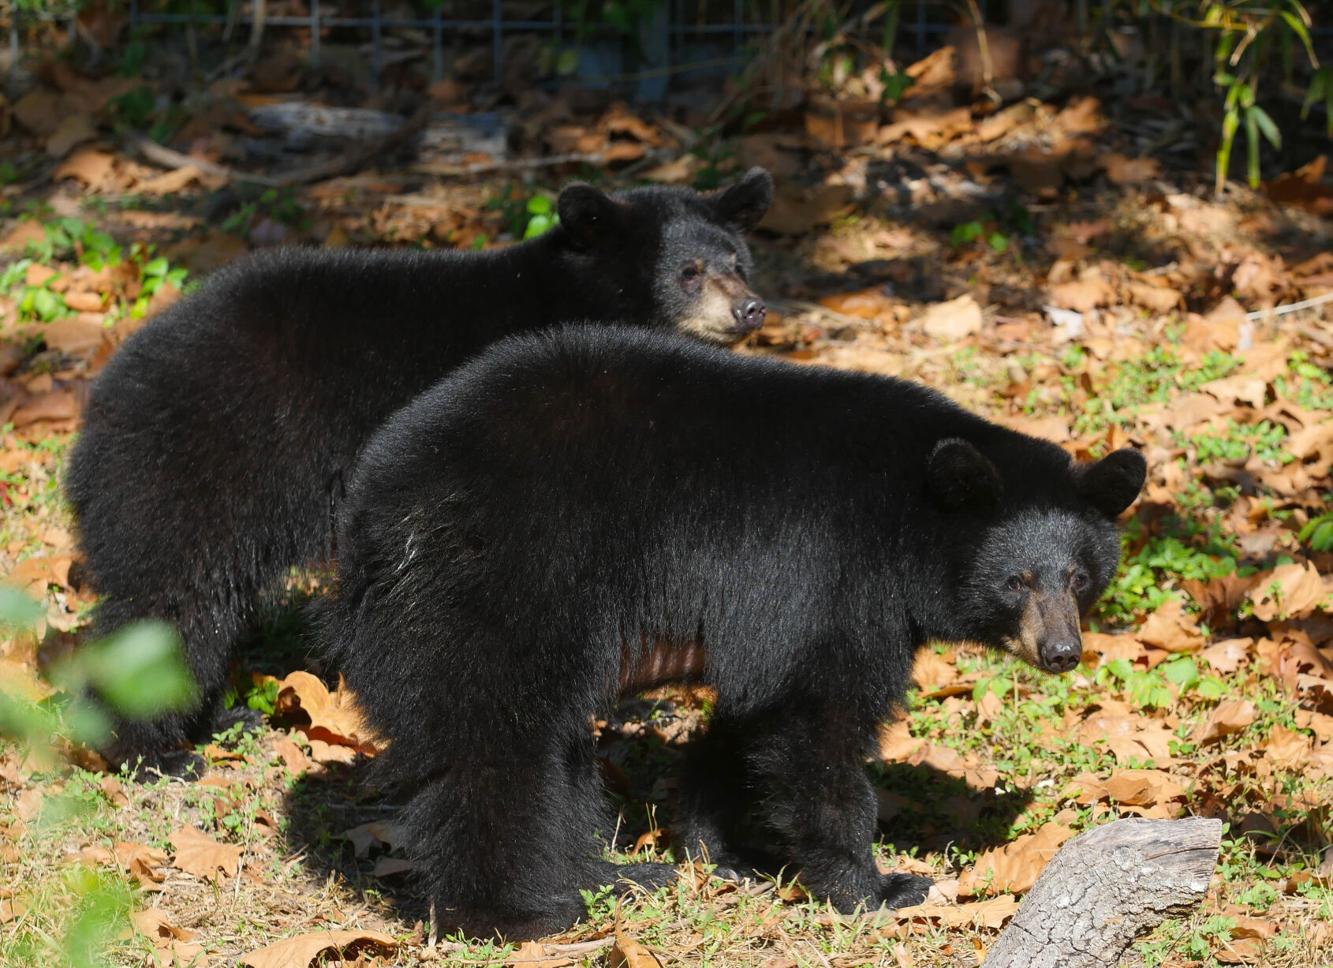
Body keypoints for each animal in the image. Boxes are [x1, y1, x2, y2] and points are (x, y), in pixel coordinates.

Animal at [64, 169, 774, 773]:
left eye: (738, 263)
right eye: (688, 273)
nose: (751, 308)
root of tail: (101, 408)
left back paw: (220, 719)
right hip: (199, 468)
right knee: (173, 600)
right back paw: (153, 754)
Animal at [316, 323, 1148, 941]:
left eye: (1078, 577)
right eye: (1016, 581)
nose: (1061, 651)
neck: (908, 517)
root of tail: (372, 512)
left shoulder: (775, 611)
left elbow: (755, 711)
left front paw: (722, 851)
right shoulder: (831, 570)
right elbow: (821, 720)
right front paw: (876, 886)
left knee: (555, 752)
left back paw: (616, 877)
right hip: (504, 583)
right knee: (497, 743)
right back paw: (518, 915)